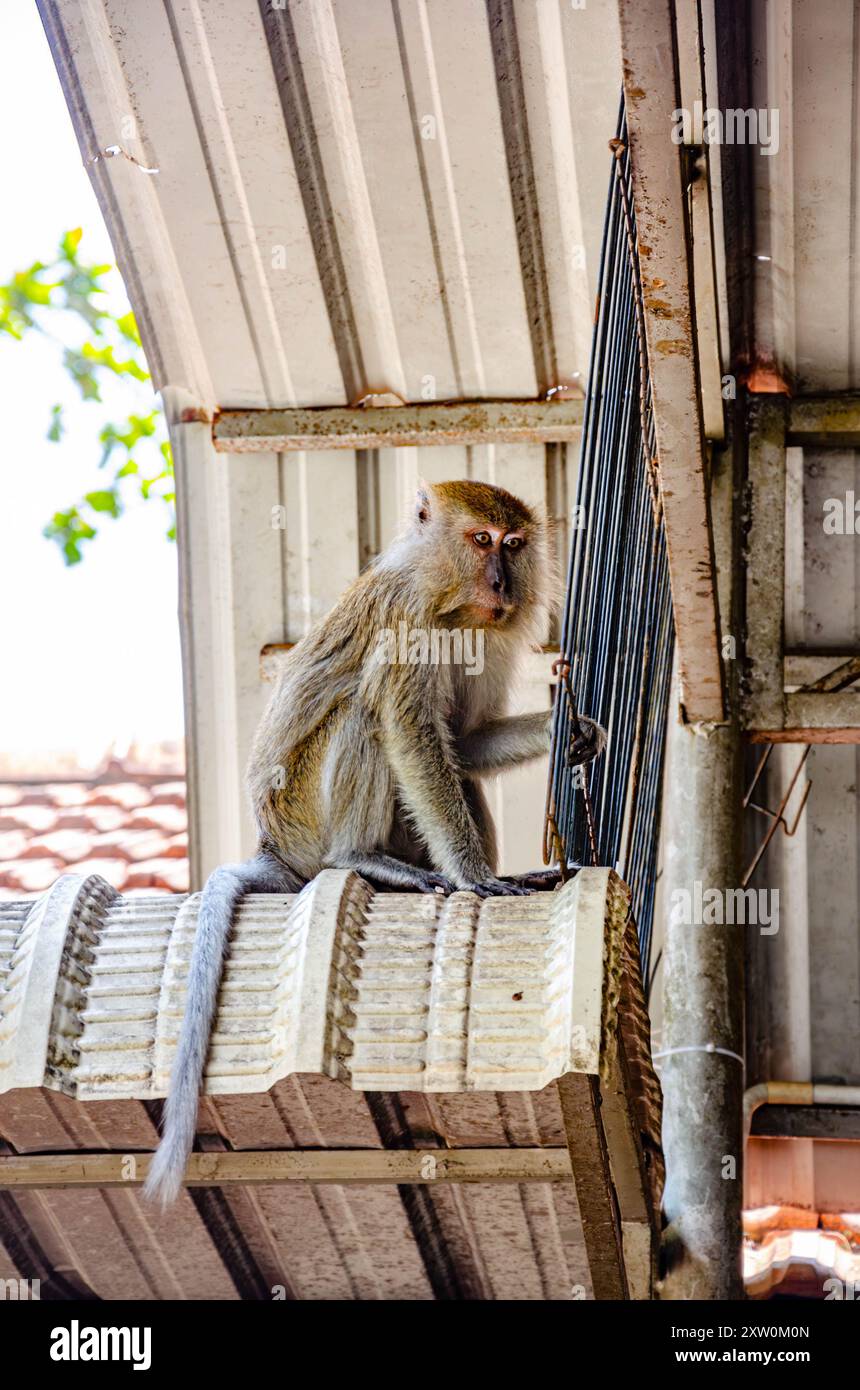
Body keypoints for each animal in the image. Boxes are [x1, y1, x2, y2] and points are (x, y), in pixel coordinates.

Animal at [144, 480, 605, 1204]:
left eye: (513, 545)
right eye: (480, 540)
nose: (500, 583)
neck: (454, 610)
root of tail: (274, 846)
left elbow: (465, 742)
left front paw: (576, 729)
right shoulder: (407, 624)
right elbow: (411, 732)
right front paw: (474, 876)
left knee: (455, 770)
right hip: (304, 811)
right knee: (367, 713)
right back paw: (360, 858)